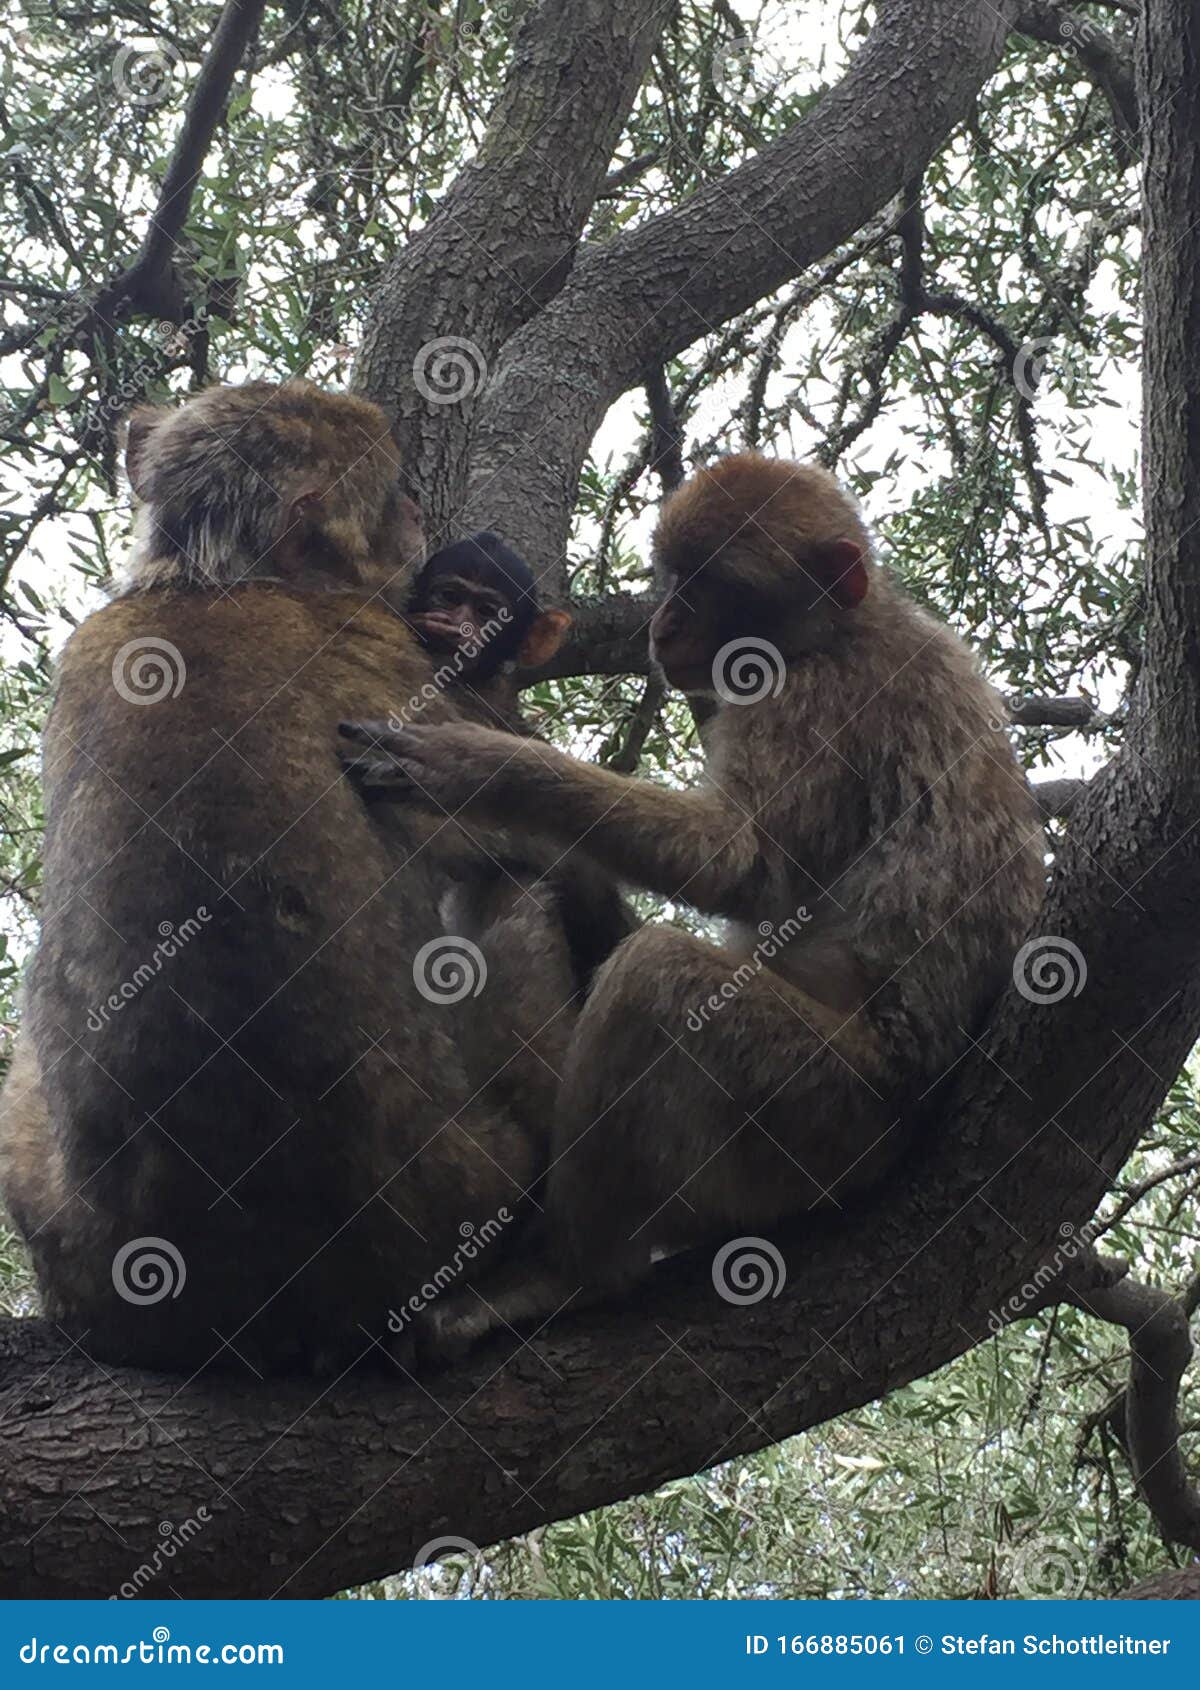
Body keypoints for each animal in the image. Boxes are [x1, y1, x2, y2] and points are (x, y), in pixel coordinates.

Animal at [0, 379, 545, 1375]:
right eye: (390, 495)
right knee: (519, 887)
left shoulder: (89, 641)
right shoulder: (393, 652)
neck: (214, 581)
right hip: (466, 1181)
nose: (417, 509)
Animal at [341, 453, 1046, 1353]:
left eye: (714, 586)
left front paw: (480, 769)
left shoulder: (812, 703)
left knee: (660, 978)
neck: (837, 634)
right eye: (676, 577)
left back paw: (571, 1273)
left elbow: (737, 864)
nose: (667, 622)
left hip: (821, 1120)